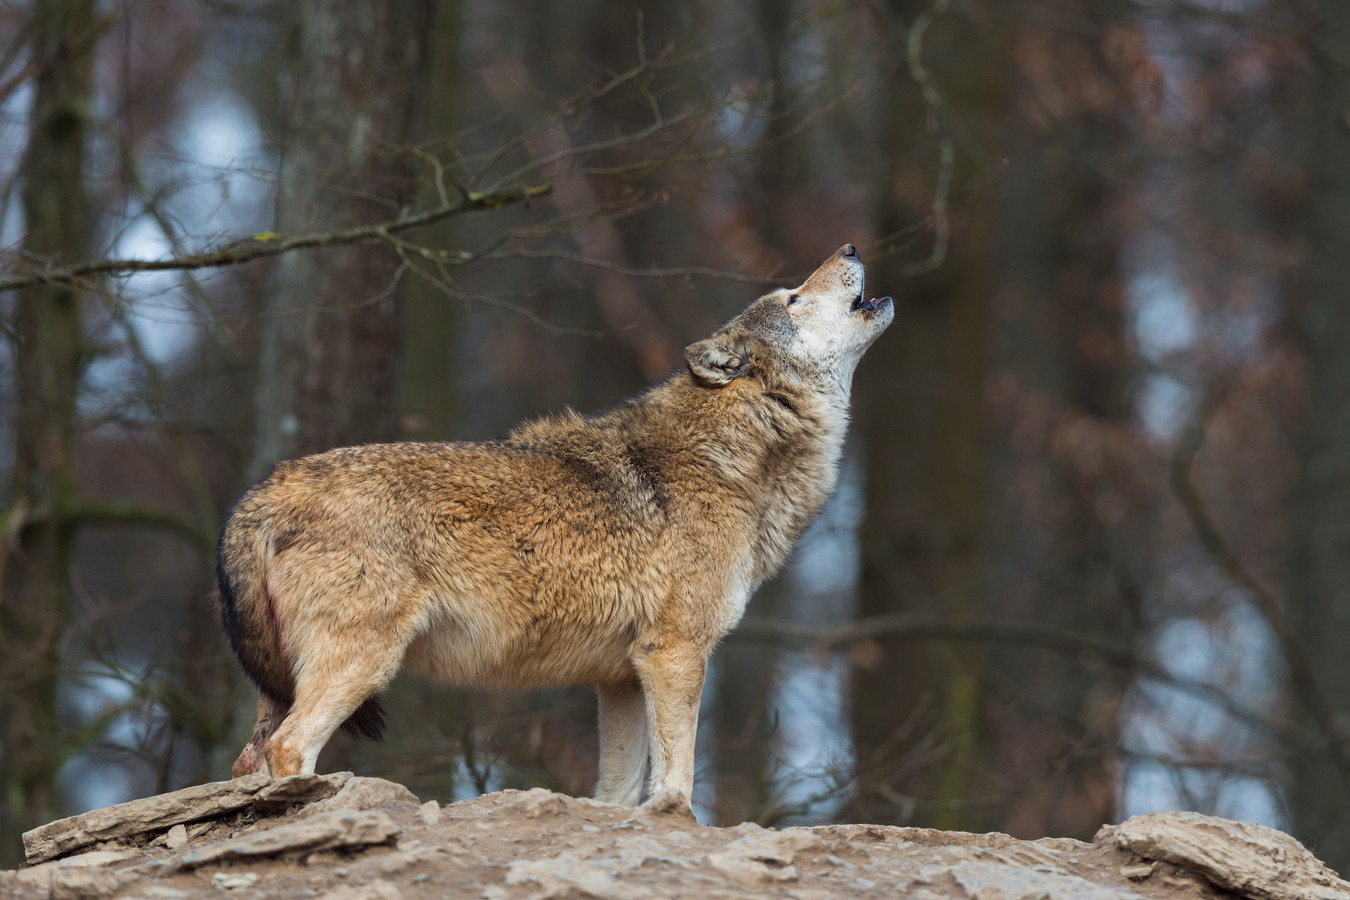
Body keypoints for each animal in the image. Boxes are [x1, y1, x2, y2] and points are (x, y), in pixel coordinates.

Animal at [216, 244, 892, 805]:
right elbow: (676, 780)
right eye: (793, 298)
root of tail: (263, 491)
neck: (736, 453)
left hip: (287, 682)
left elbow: (617, 792)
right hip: (362, 664)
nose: (851, 247)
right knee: (287, 747)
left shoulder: (622, 677)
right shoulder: (675, 652)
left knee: (247, 760)